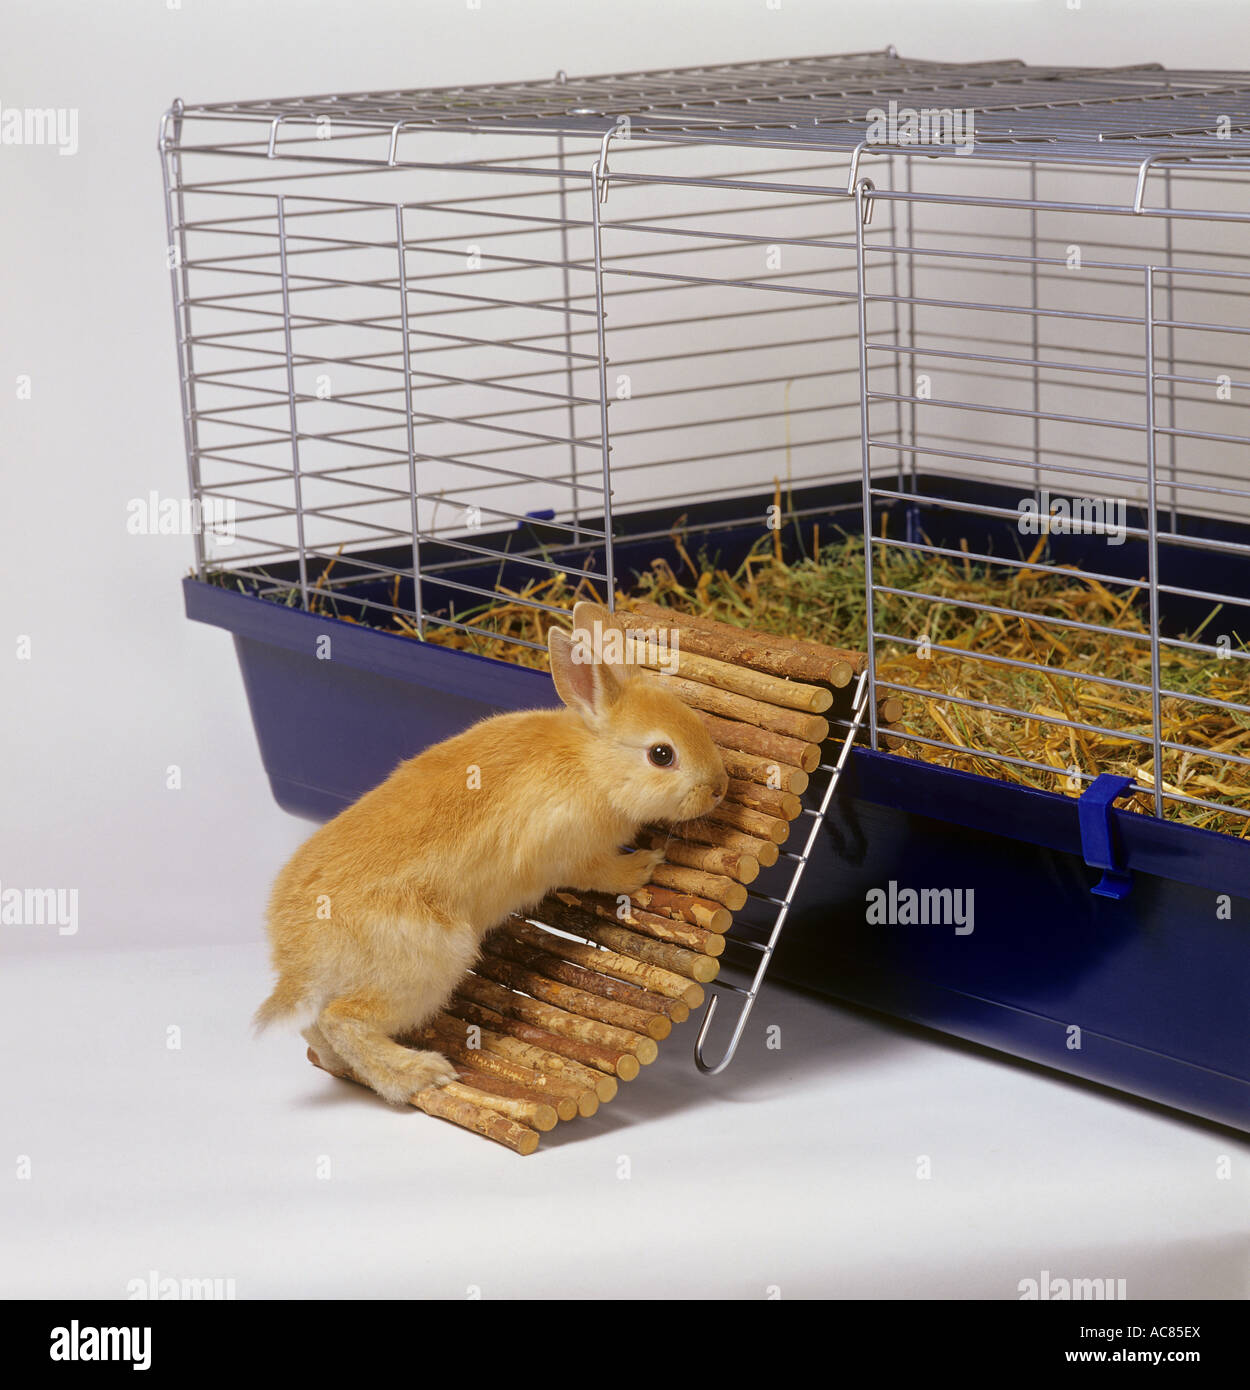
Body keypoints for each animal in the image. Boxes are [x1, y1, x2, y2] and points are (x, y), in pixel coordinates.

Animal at [254, 600, 728, 1105]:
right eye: (662, 754)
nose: (719, 788)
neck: (592, 765)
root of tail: (297, 959)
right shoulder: (566, 852)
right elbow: (601, 874)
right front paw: (645, 865)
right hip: (430, 960)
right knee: (343, 1020)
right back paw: (421, 1074)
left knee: (317, 1030)